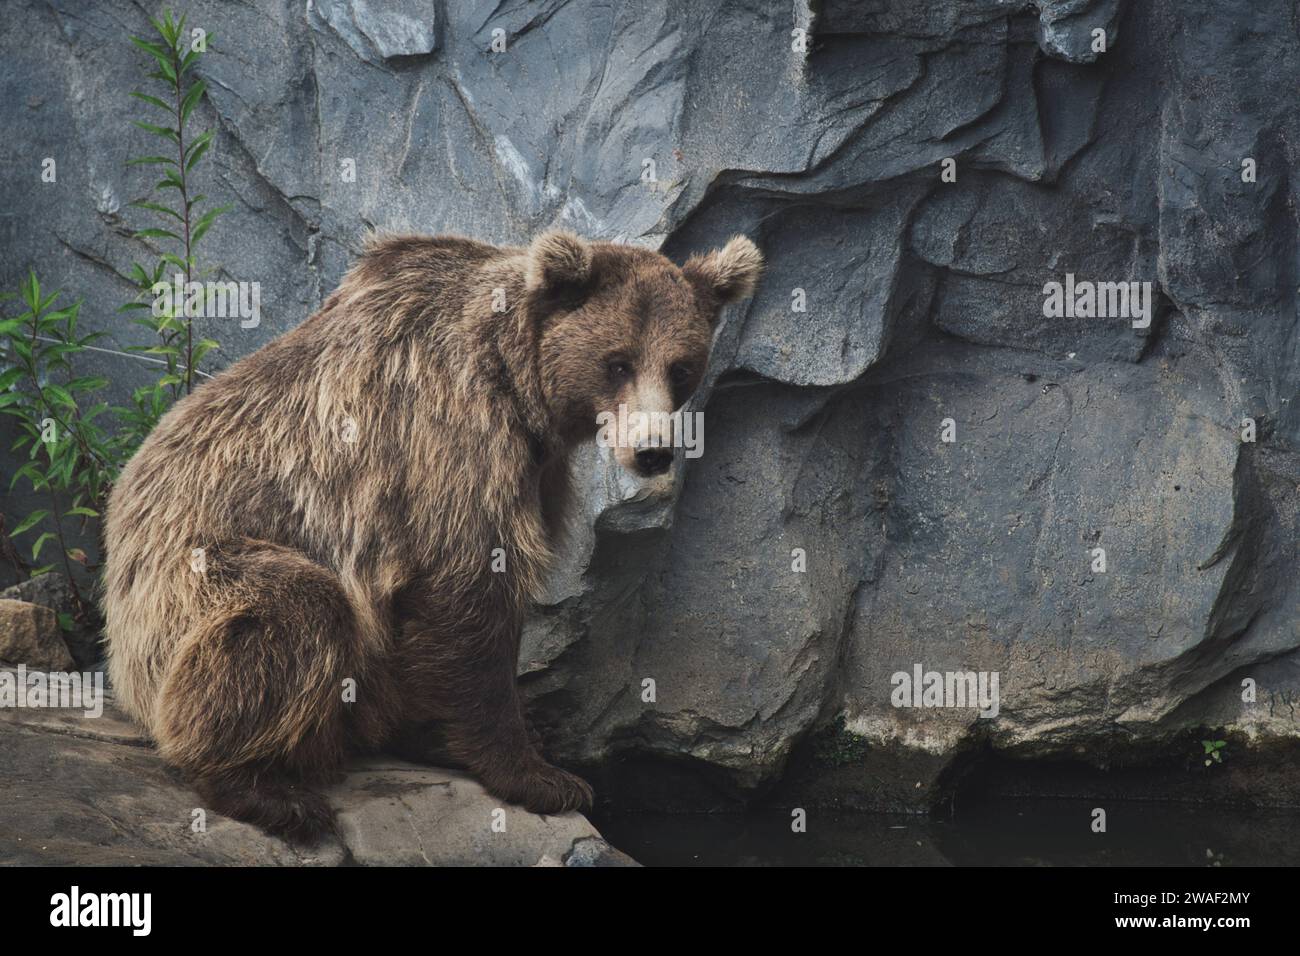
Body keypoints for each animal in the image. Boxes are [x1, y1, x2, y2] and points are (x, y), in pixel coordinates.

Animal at [102, 229, 763, 841]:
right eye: (618, 361)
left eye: (680, 368)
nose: (654, 451)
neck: (519, 383)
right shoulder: (449, 441)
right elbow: (469, 596)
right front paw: (544, 776)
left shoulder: (536, 468)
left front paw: (444, 736)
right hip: (185, 581)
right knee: (294, 609)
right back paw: (264, 789)